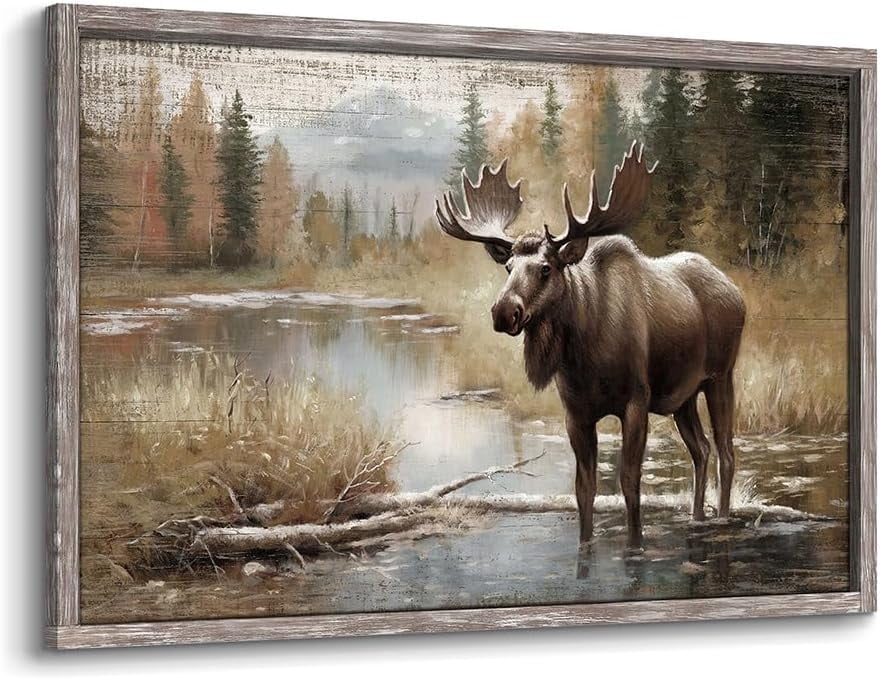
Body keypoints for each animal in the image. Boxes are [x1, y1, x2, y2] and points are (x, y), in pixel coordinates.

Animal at [435, 142, 746, 548]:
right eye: (508, 268)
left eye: (546, 268)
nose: (504, 312)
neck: (586, 357)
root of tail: (736, 293)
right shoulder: (576, 412)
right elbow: (585, 489)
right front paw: (585, 546)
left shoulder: (636, 401)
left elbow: (629, 482)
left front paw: (635, 544)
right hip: (684, 396)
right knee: (702, 451)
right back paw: (696, 518)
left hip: (721, 375)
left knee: (726, 451)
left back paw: (721, 519)